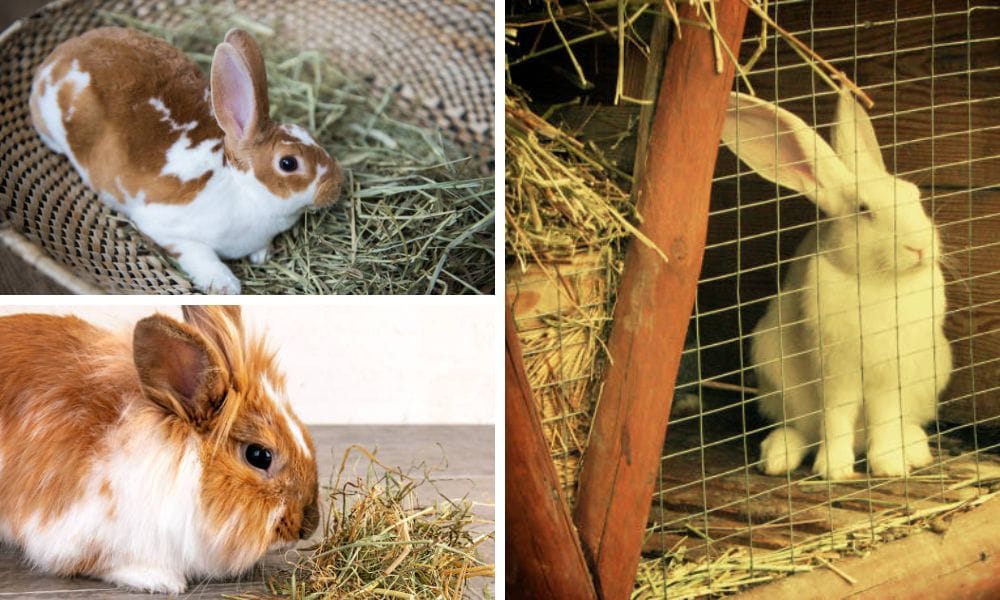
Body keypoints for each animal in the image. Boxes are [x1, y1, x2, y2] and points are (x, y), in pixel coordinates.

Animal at [29, 27, 343, 293]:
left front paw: (261, 256)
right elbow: (200, 255)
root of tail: (58, 55)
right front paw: (225, 286)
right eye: (288, 163)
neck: (242, 190)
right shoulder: (170, 231)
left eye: (307, 132)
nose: (337, 186)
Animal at [720, 90, 952, 480]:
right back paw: (777, 456)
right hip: (774, 374)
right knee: (803, 429)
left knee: (905, 421)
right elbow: (836, 417)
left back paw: (914, 450)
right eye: (863, 209)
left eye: (915, 196)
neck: (879, 282)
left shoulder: (890, 375)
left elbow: (886, 418)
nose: (919, 246)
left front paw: (889, 466)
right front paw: (835, 471)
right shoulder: (834, 372)